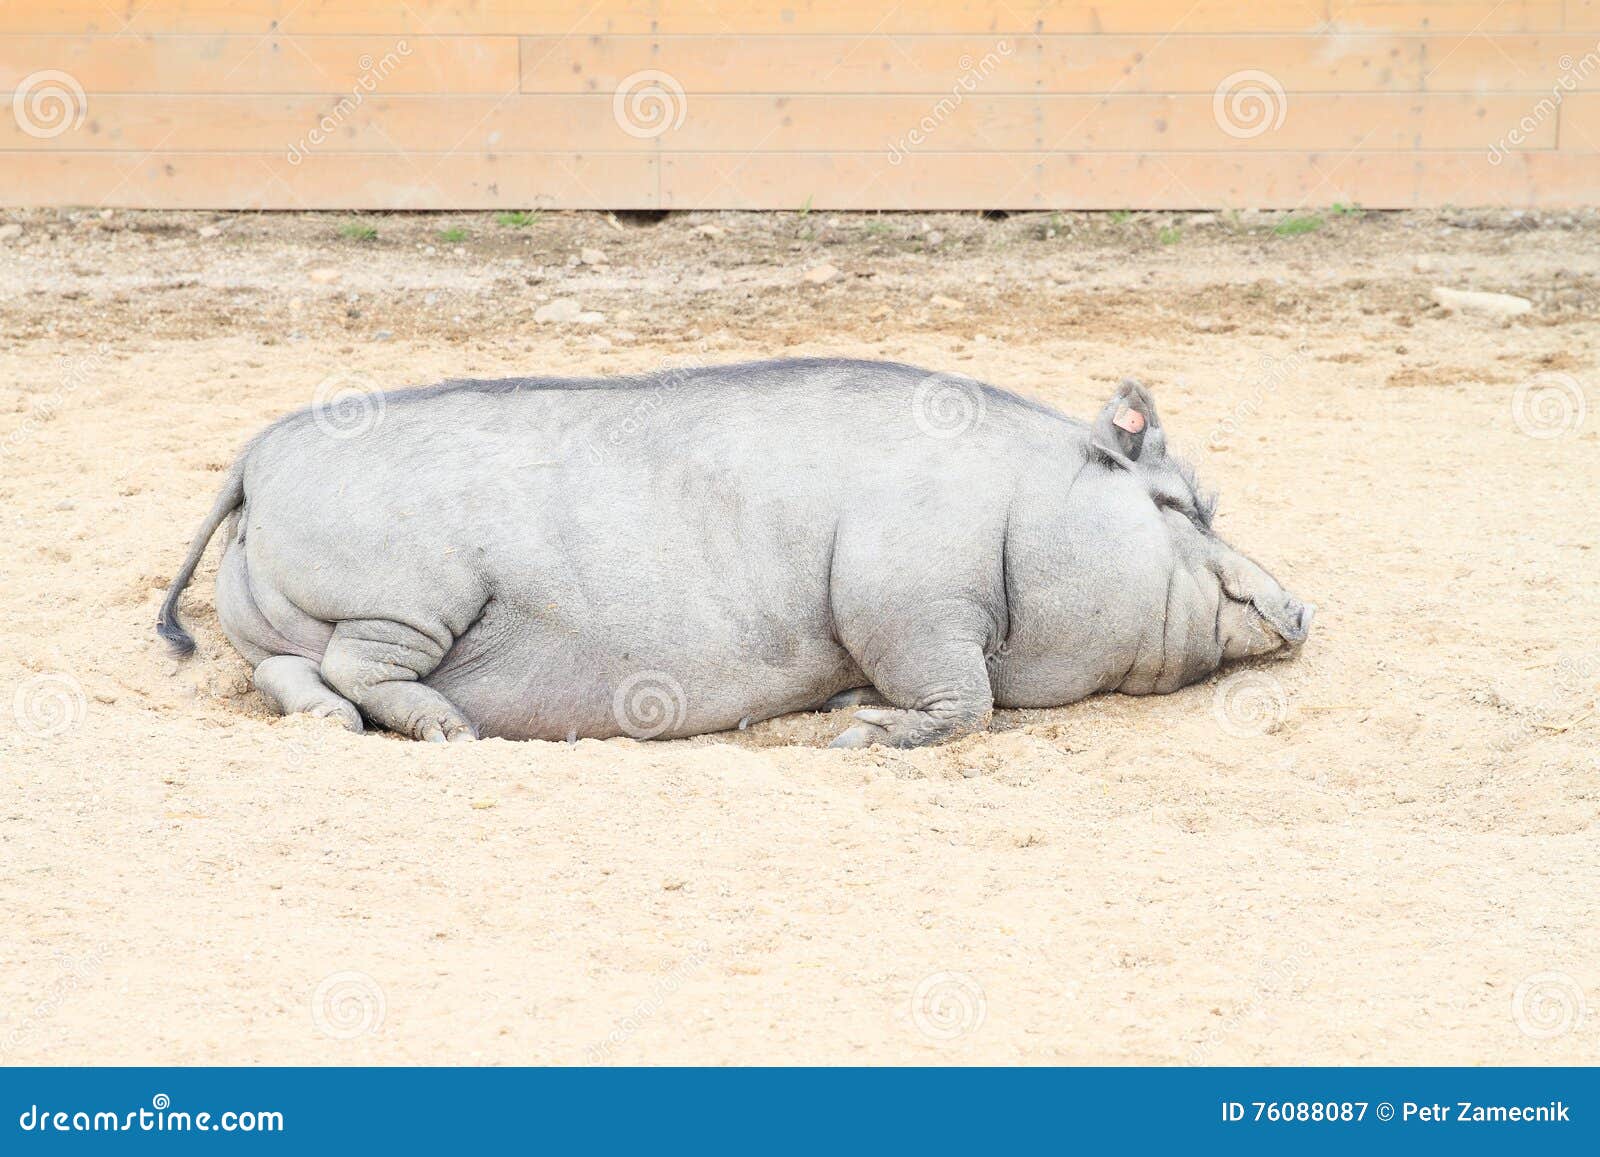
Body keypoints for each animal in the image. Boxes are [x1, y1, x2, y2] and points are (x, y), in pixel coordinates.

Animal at [156, 358, 1312, 747]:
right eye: (1184, 504)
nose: (1303, 608)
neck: (1018, 505)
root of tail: (256, 458)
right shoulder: (909, 597)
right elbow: (964, 700)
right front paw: (856, 729)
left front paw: (850, 713)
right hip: (412, 591)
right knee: (357, 663)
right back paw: (449, 729)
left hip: (285, 617)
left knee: (284, 673)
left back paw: (346, 726)